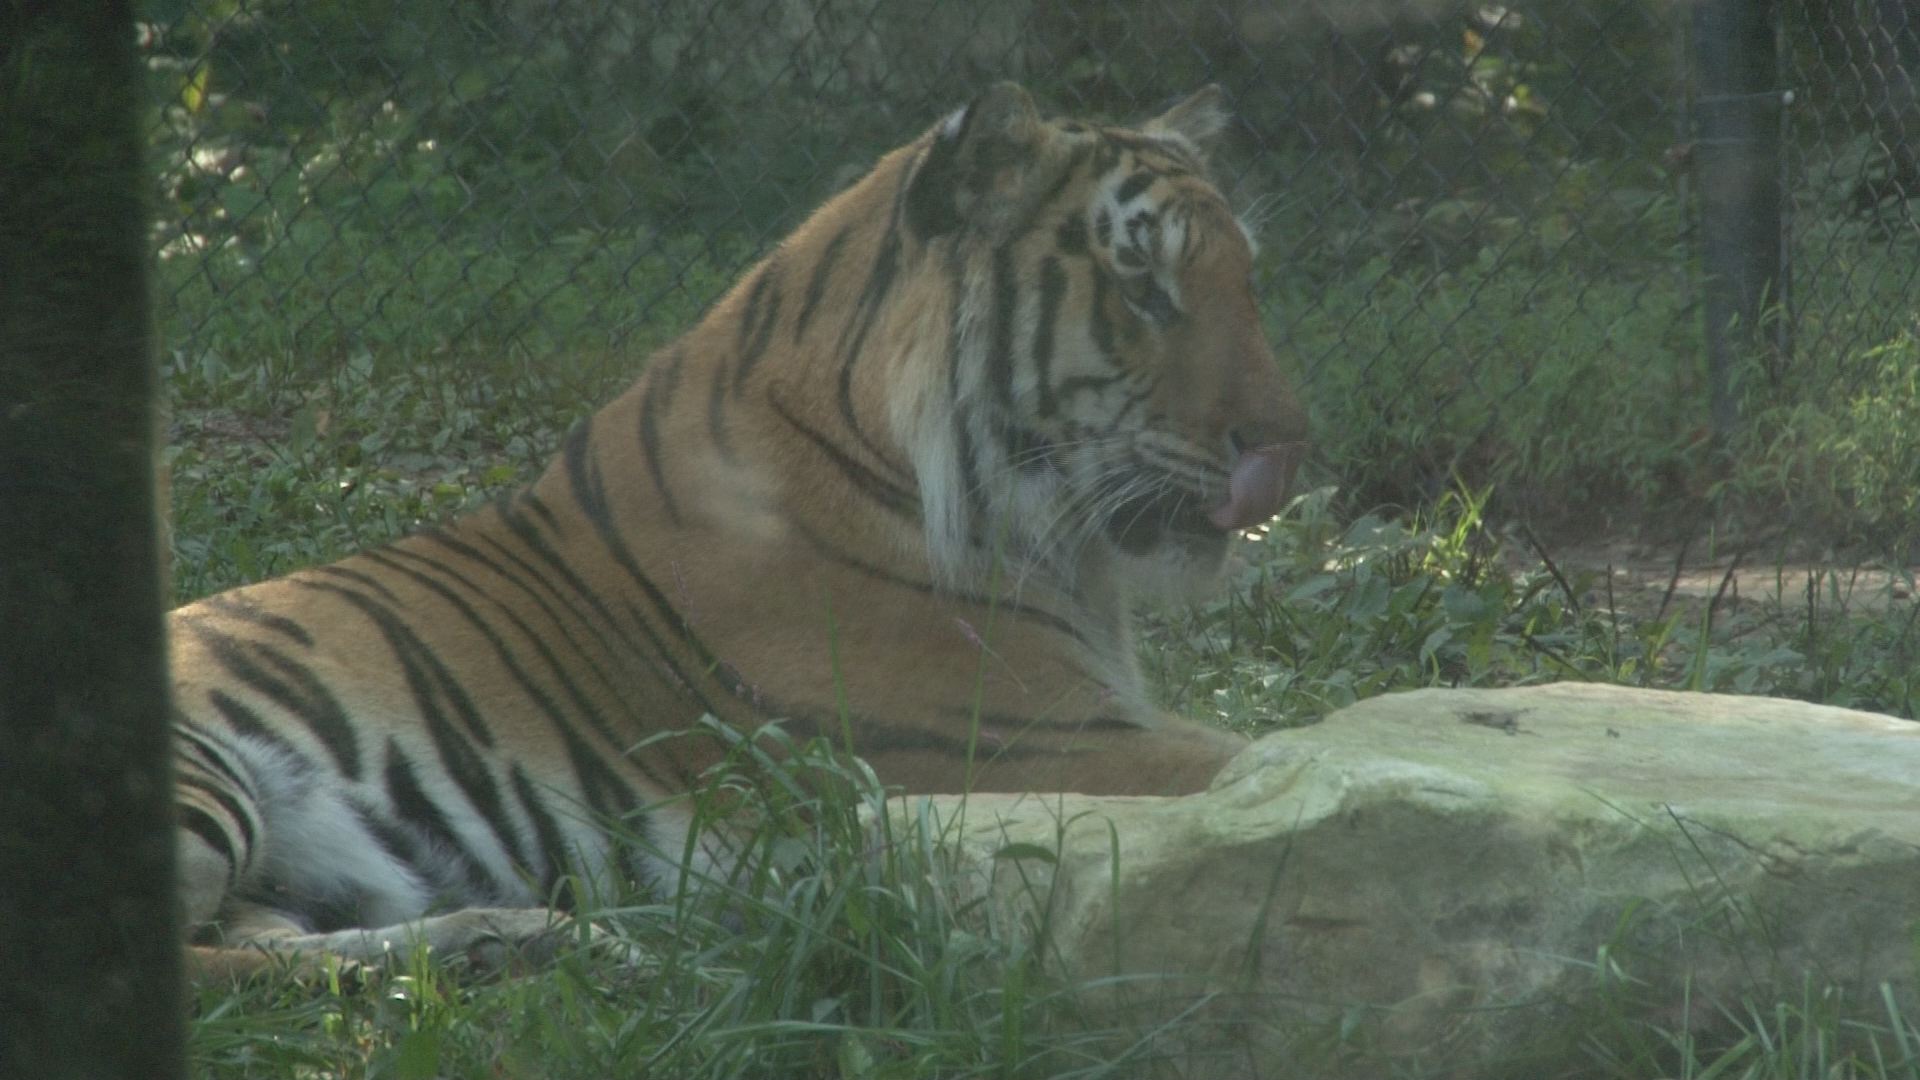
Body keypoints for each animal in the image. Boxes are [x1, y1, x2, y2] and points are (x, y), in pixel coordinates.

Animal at [171, 82, 1309, 969]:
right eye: (1141, 285)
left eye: (1246, 279)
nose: (1291, 446)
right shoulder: (1034, 745)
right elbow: (1274, 763)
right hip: (202, 773)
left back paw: (510, 944)